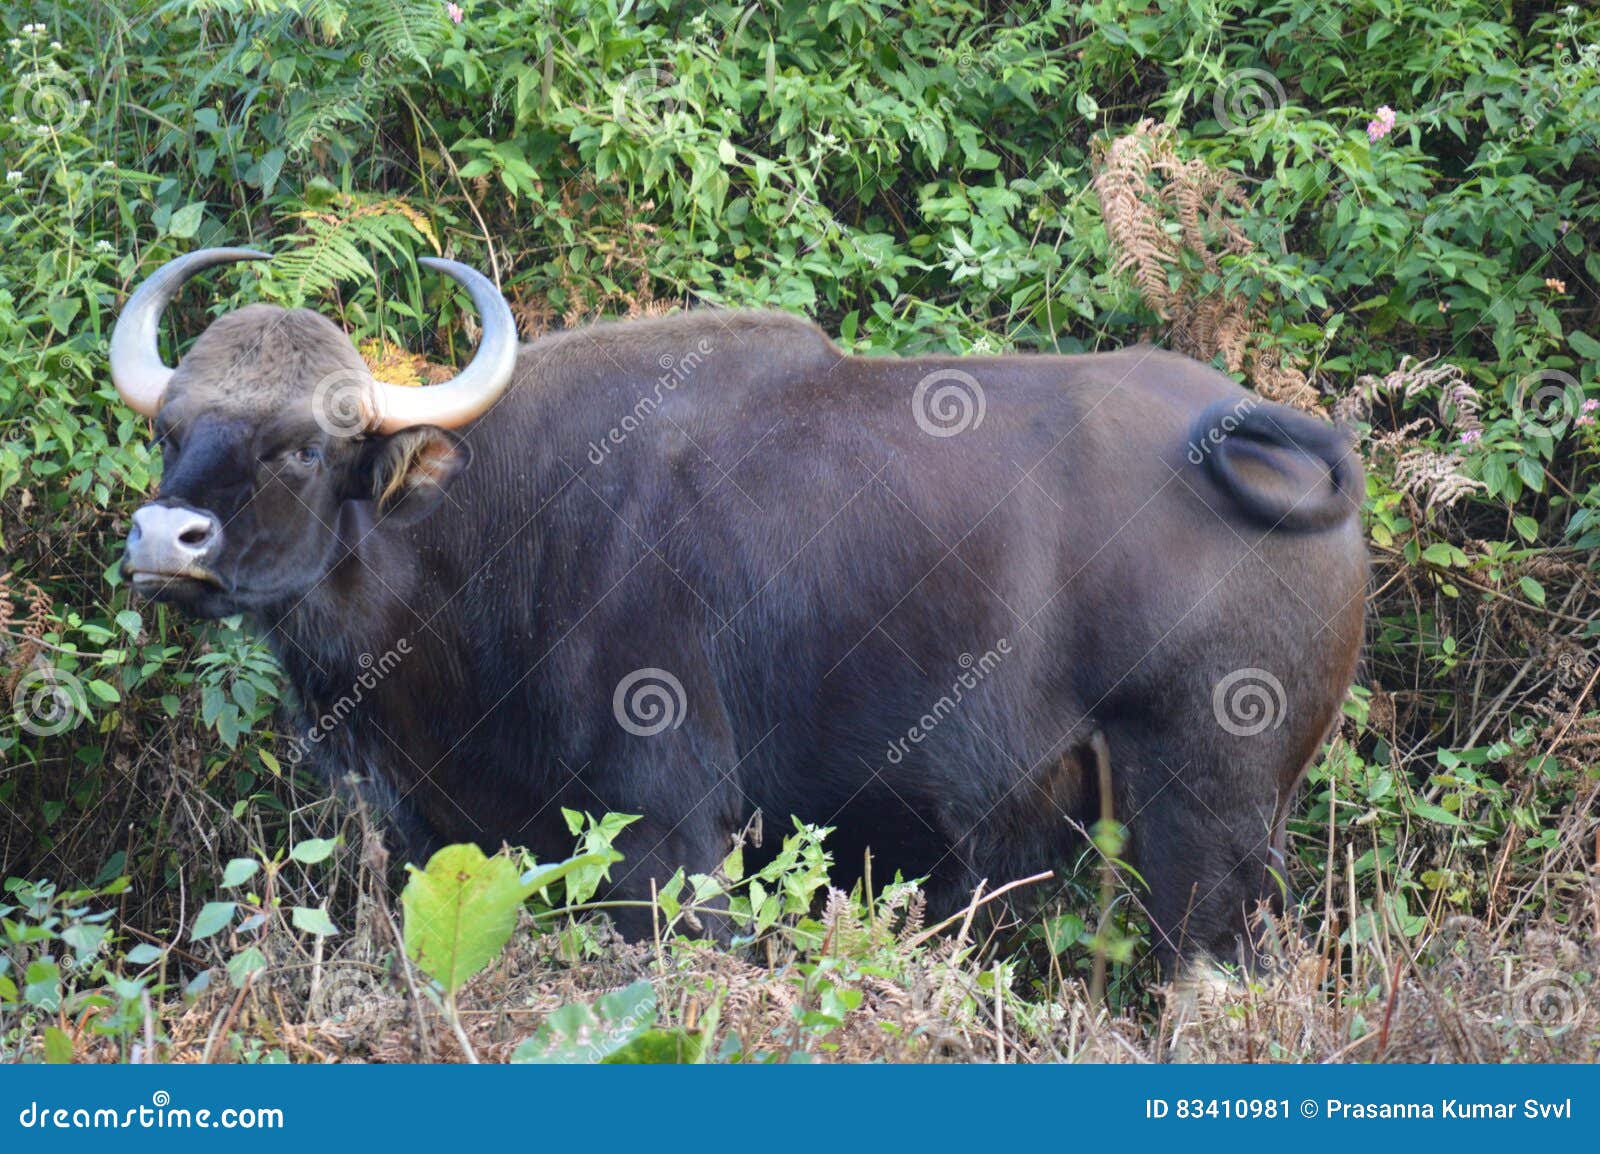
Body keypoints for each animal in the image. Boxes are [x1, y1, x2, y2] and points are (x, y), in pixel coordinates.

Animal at [114, 249, 1366, 973]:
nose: (162, 540)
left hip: (1206, 816)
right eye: (173, 431)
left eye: (301, 446)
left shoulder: (669, 831)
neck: (489, 533)